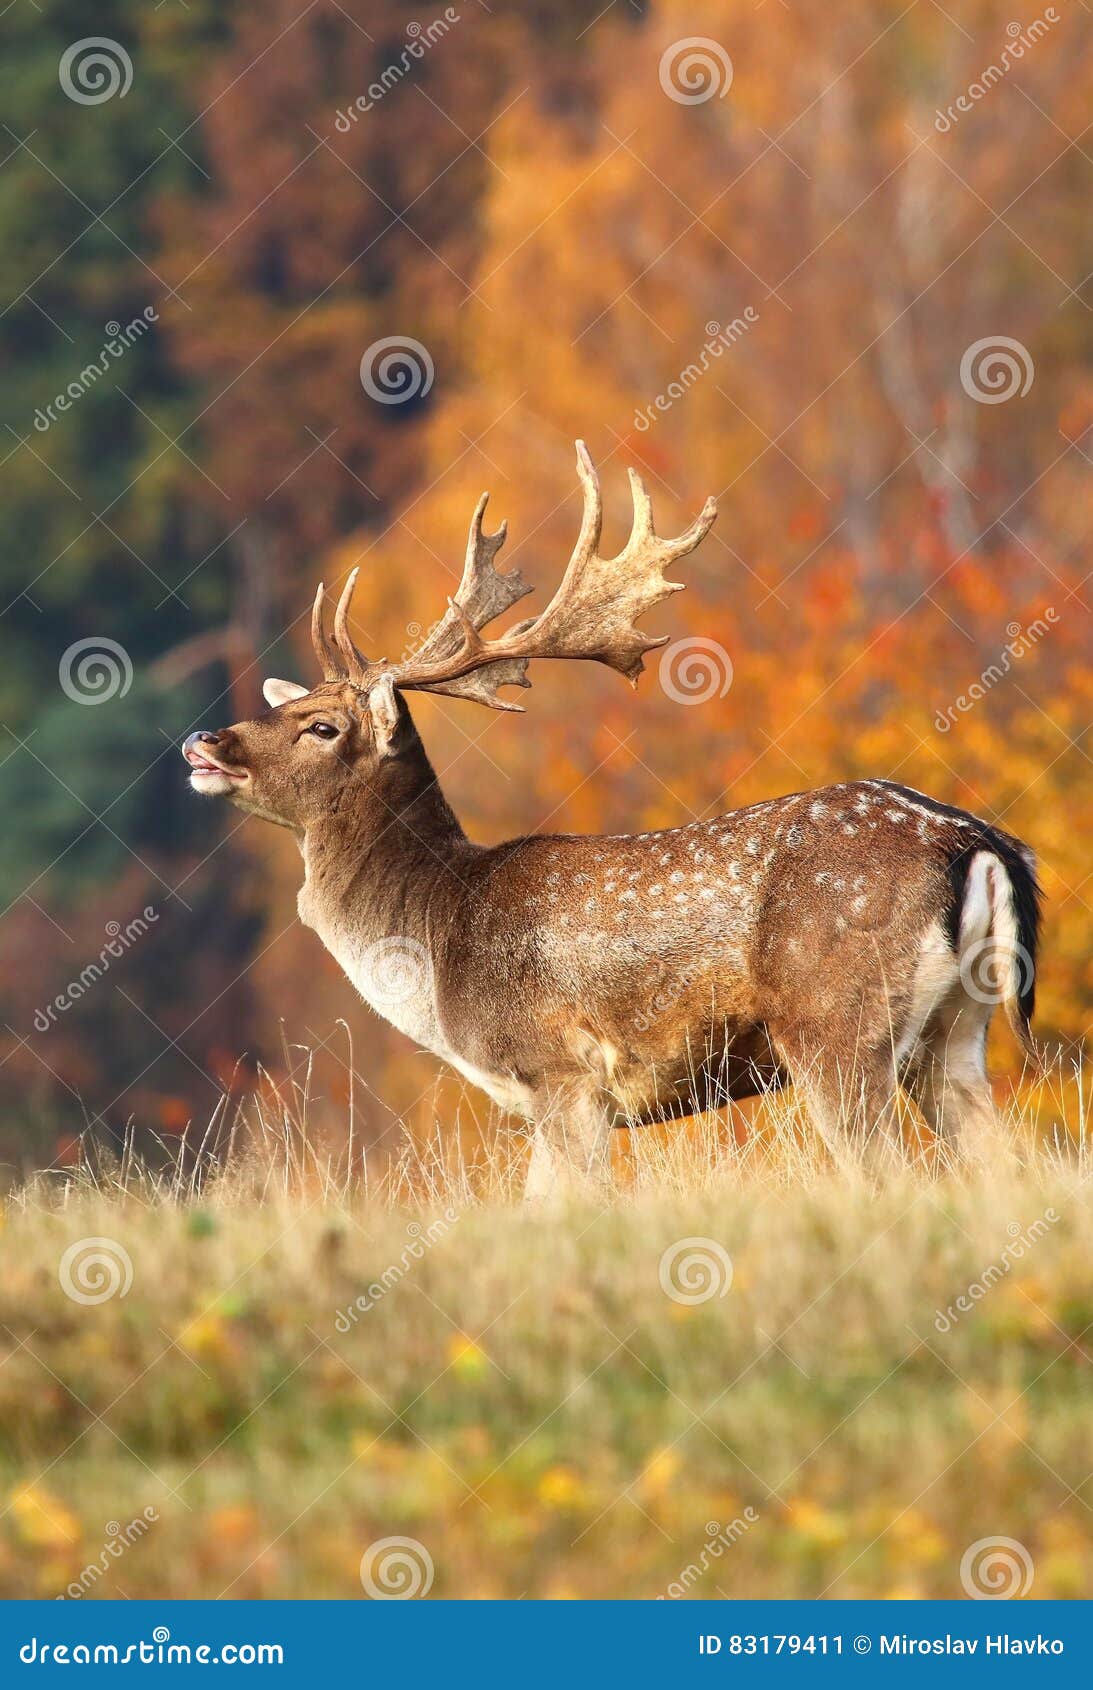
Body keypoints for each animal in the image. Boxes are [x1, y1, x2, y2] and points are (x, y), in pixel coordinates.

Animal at [182, 442, 1041, 1195]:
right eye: (293, 705)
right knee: (997, 1163)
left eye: (322, 727)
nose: (204, 741)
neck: (436, 939)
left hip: (835, 1022)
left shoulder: (562, 1072)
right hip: (955, 1032)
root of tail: (977, 842)